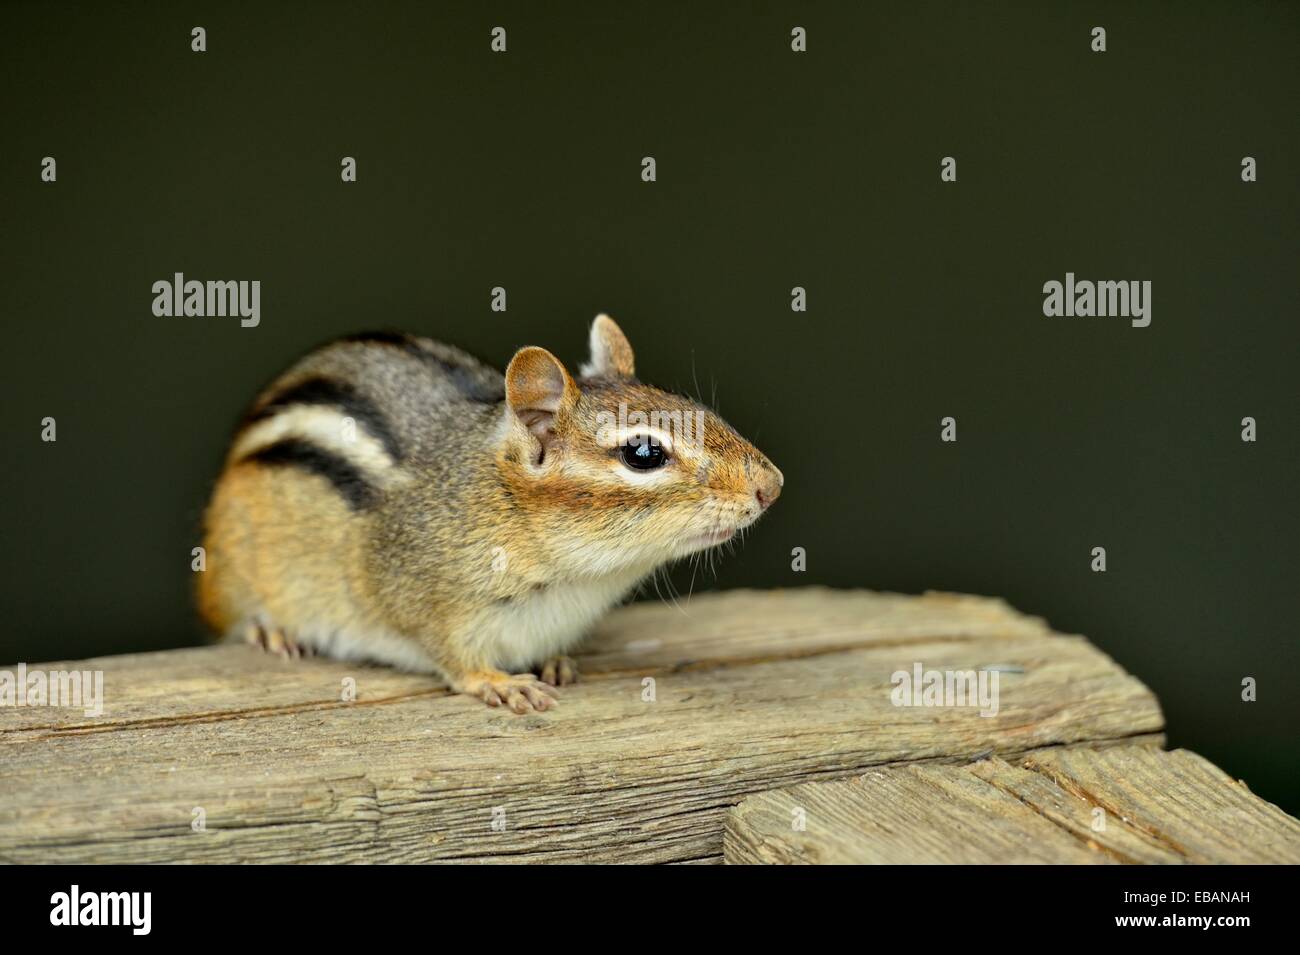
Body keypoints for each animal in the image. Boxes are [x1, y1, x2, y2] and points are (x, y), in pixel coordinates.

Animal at [197, 315, 783, 713]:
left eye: (697, 409)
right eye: (643, 452)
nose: (771, 486)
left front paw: (553, 662)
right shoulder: (416, 595)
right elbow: (451, 655)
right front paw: (498, 683)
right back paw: (271, 631)